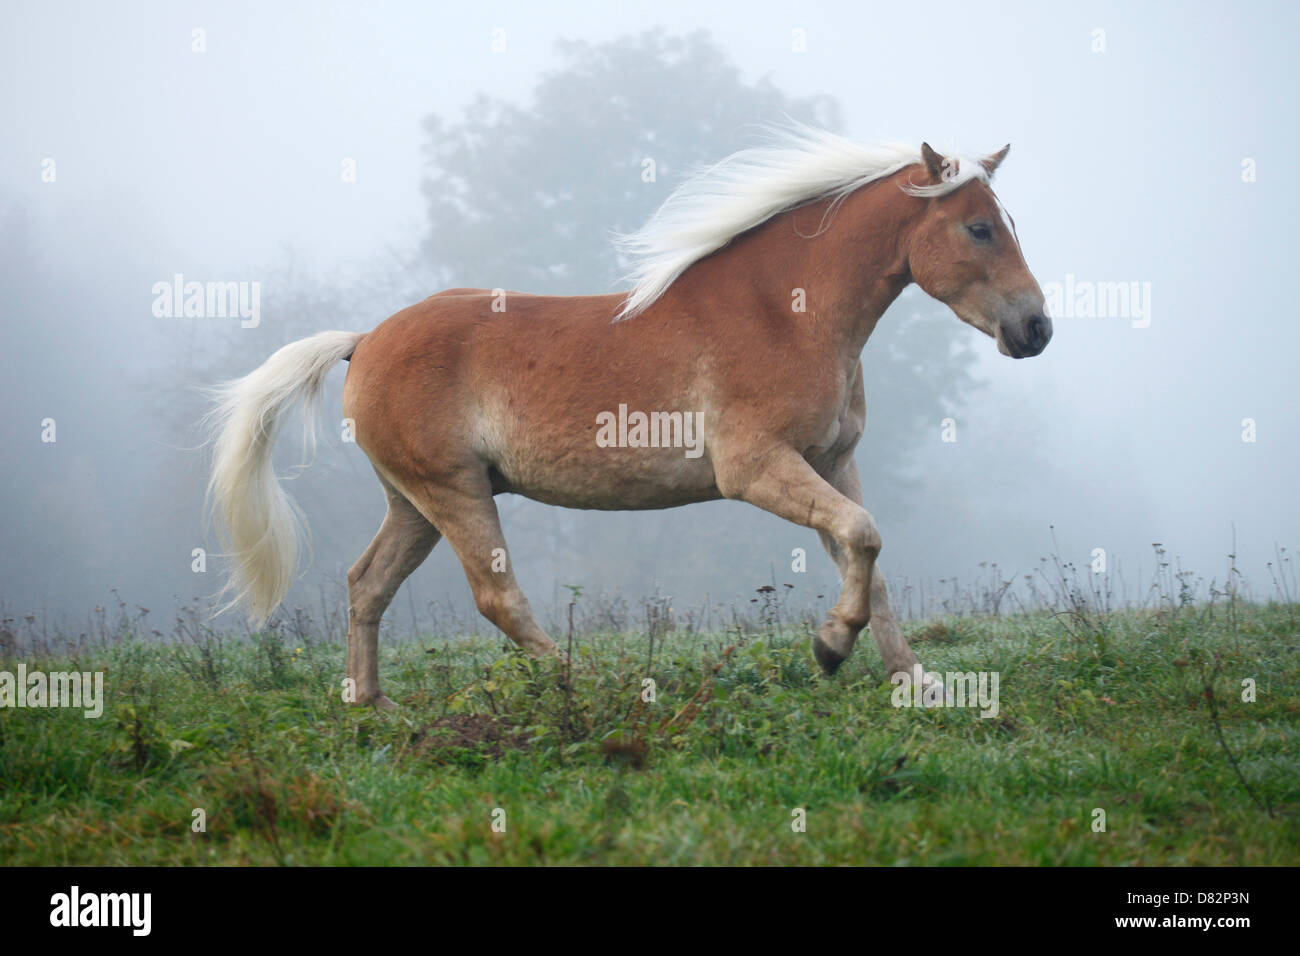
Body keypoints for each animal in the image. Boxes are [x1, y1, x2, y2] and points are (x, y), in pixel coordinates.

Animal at [206, 126, 1050, 709]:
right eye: (978, 227)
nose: (1036, 329)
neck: (786, 312)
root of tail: (364, 340)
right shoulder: (757, 469)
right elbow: (864, 540)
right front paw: (830, 648)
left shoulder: (831, 463)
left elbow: (869, 564)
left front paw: (917, 684)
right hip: (452, 491)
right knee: (495, 597)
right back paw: (577, 687)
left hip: (414, 502)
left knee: (366, 585)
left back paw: (375, 707)